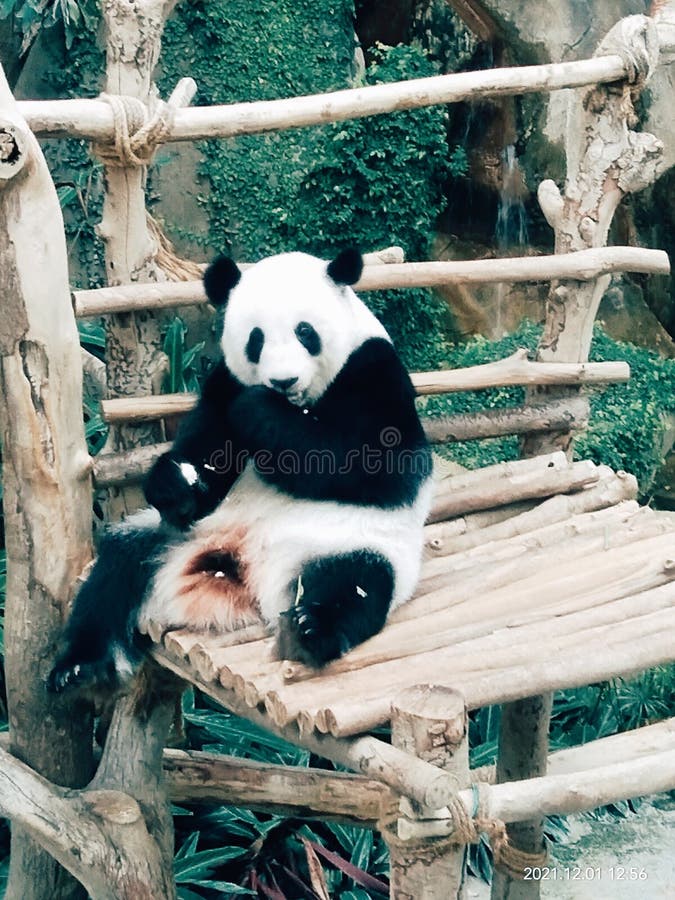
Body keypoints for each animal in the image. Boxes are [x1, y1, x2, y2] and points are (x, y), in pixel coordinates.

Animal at [48, 248, 433, 694]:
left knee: (353, 584)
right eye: (256, 339)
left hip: (352, 543)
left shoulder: (373, 371)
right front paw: (175, 483)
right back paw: (79, 667)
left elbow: (375, 464)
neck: (300, 403)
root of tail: (243, 570)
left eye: (306, 332)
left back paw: (310, 629)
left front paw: (258, 411)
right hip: (173, 538)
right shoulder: (223, 380)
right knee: (113, 575)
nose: (283, 380)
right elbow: (208, 453)